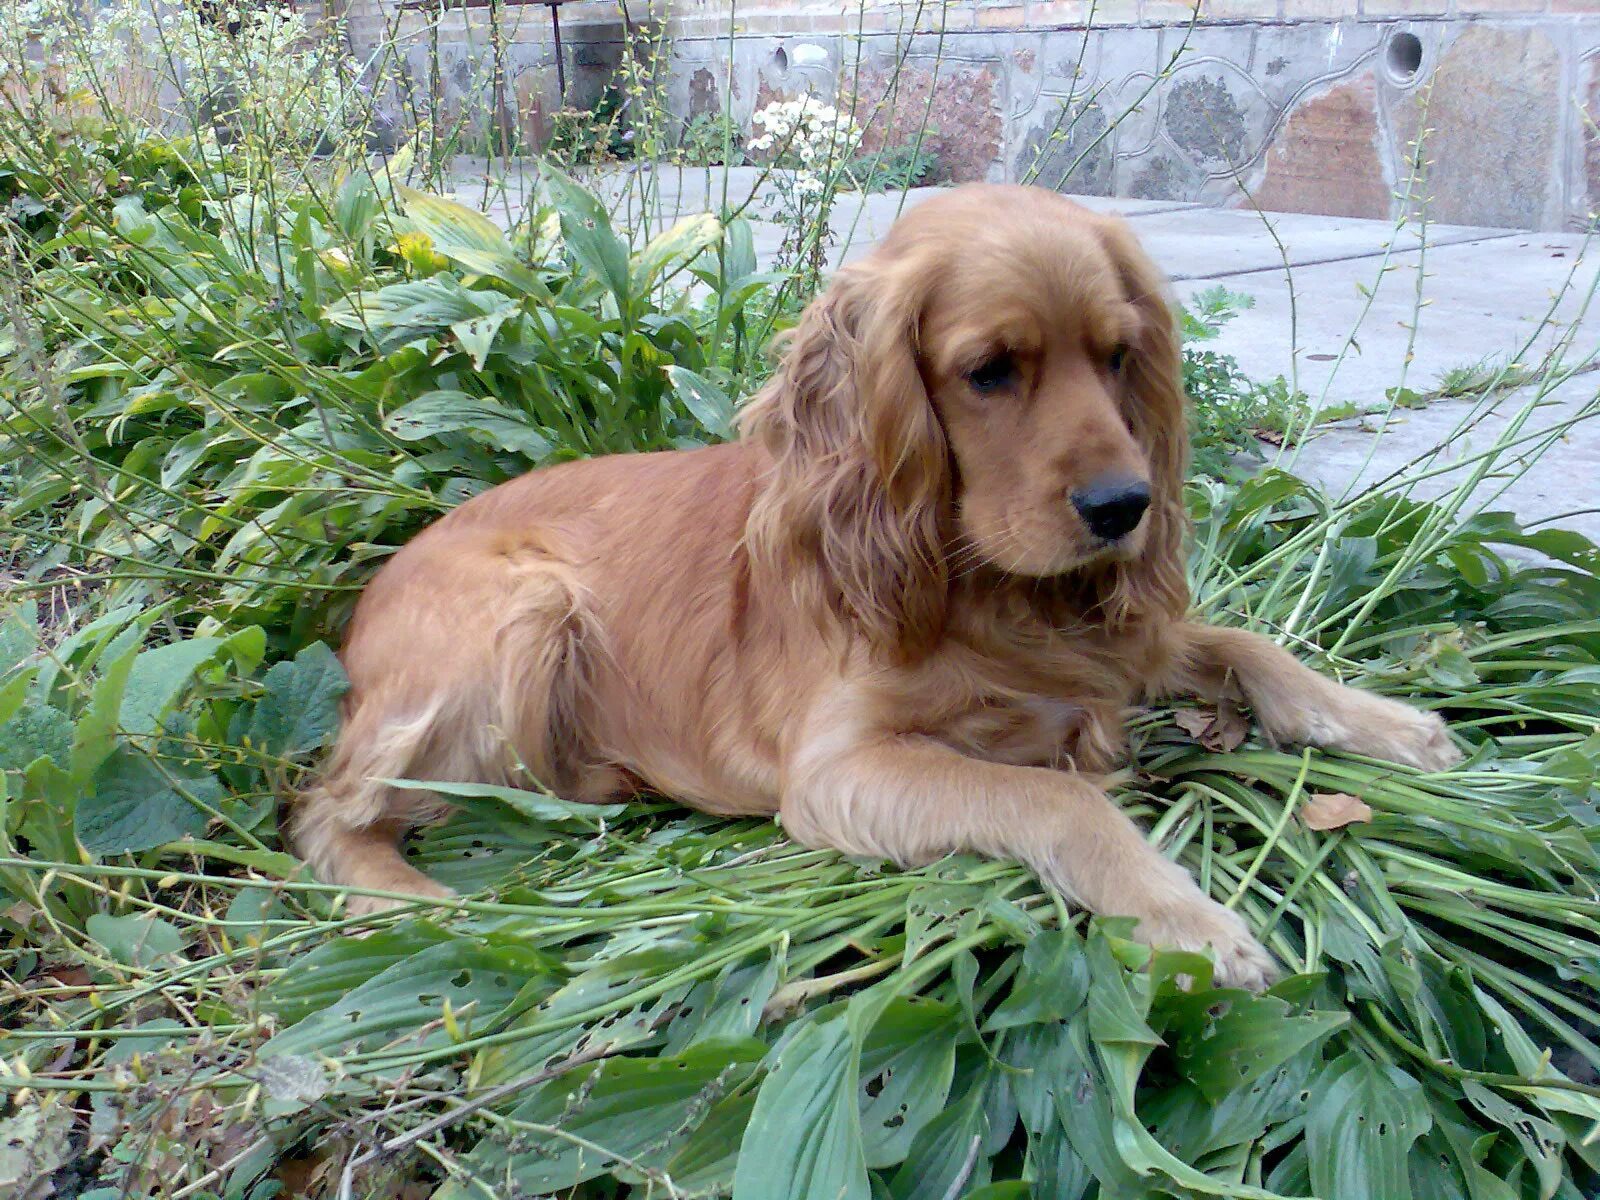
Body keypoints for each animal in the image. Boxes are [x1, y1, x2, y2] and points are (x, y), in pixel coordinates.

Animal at [291, 185, 1465, 985]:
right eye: (990, 371)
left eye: (1118, 355)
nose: (1124, 506)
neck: (984, 584)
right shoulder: (838, 769)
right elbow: (1056, 796)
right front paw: (1189, 920)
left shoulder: (1113, 639)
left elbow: (1245, 645)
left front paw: (1388, 724)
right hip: (524, 615)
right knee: (327, 818)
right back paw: (437, 913)